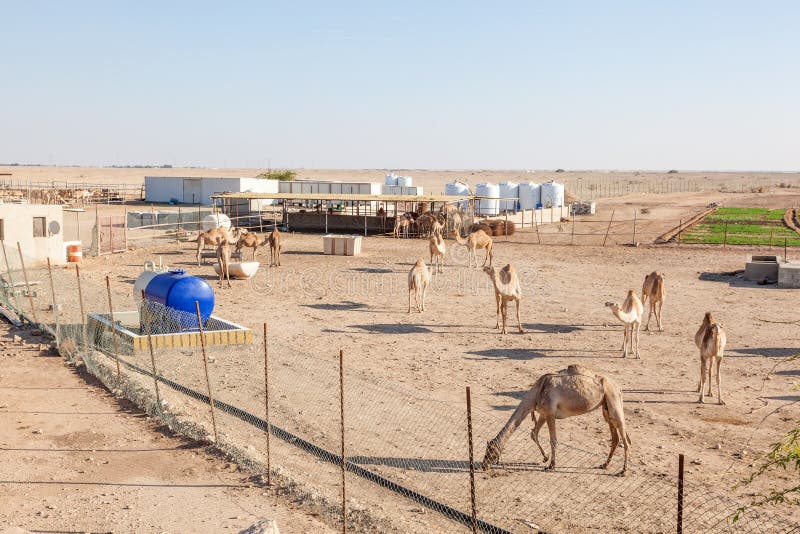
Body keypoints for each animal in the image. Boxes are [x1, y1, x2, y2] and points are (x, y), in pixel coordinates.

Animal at [481, 366, 631, 476]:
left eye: (490, 452)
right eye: (486, 451)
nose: (484, 465)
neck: (536, 392)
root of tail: (618, 387)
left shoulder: (550, 414)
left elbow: (553, 440)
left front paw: (551, 466)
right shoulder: (544, 413)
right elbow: (534, 433)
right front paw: (545, 458)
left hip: (614, 401)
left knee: (626, 439)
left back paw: (623, 471)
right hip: (606, 408)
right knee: (615, 438)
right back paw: (604, 465)